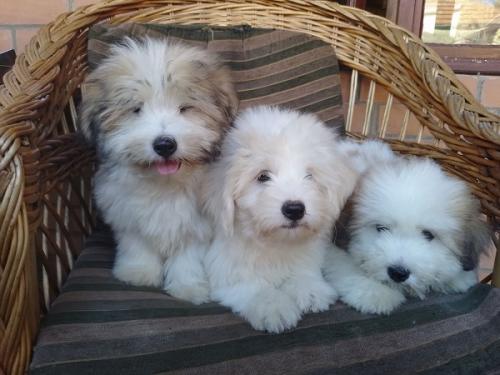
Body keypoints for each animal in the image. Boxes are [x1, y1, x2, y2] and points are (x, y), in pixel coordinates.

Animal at [79, 36, 238, 304]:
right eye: (136, 109)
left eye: (185, 108)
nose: (164, 144)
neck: (165, 184)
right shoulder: (128, 217)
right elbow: (138, 245)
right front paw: (138, 272)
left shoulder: (198, 226)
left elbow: (189, 256)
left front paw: (188, 286)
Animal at [201, 106, 358, 332]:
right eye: (263, 176)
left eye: (309, 176)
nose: (294, 209)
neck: (277, 243)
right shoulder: (225, 271)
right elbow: (252, 286)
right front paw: (273, 306)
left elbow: (302, 270)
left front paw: (309, 288)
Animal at [322, 140, 490, 314]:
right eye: (381, 228)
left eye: (428, 234)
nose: (398, 272)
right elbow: (347, 265)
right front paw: (375, 292)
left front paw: (457, 278)